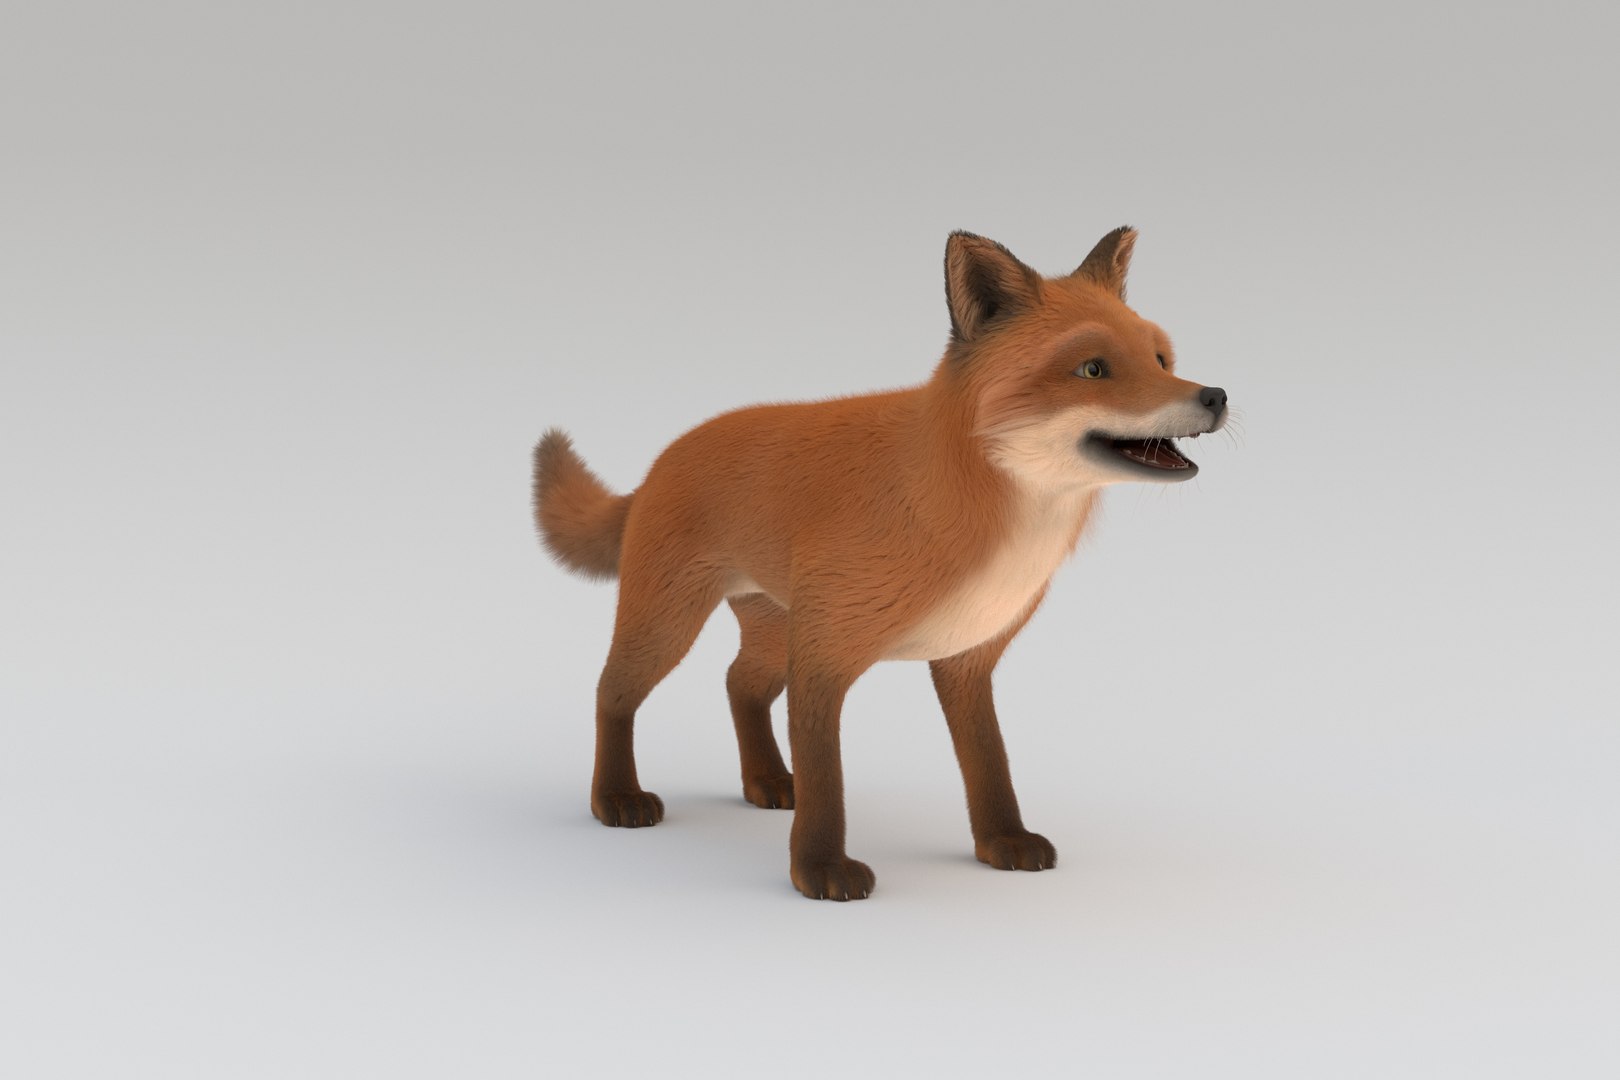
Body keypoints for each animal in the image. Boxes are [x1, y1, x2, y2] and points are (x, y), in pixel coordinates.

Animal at [533, 227, 1229, 900]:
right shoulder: (822, 657)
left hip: (771, 632)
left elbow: (990, 761)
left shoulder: (965, 660)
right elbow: (828, 780)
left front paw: (1002, 842)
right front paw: (819, 870)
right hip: (669, 624)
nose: (1216, 395)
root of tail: (661, 460)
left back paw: (767, 781)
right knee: (610, 692)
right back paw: (615, 797)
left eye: (1161, 360)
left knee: (737, 684)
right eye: (1093, 368)